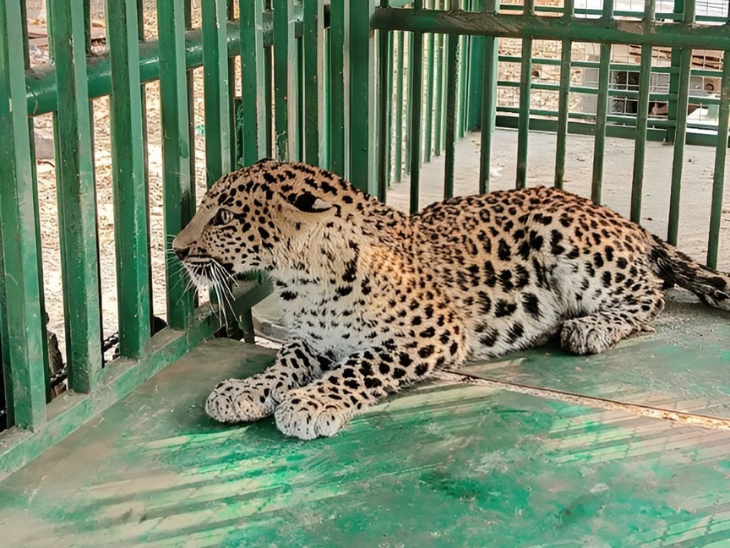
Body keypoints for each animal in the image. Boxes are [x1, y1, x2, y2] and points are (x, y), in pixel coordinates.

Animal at [172, 159, 730, 440]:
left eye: (224, 217)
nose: (175, 248)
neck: (300, 277)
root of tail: (621, 216)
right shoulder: (310, 338)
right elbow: (283, 364)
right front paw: (246, 390)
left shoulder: (434, 330)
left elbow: (361, 366)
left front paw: (311, 402)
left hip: (565, 236)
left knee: (651, 294)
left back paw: (587, 328)